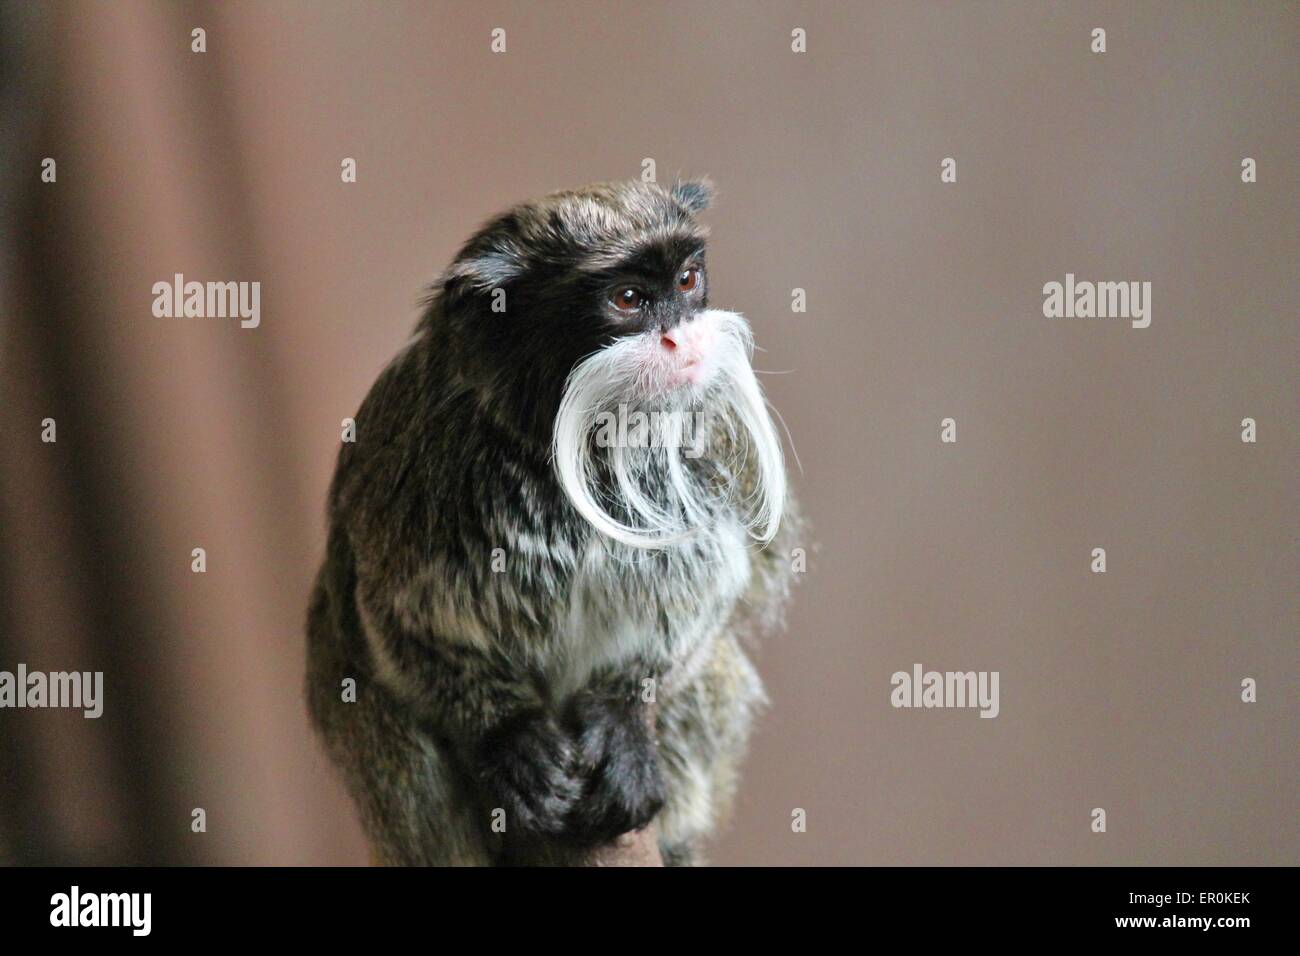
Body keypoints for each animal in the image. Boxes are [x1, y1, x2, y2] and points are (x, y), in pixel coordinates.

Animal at [306, 179, 799, 865]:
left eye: (687, 280)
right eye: (628, 299)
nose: (683, 340)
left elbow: (711, 589)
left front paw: (622, 715)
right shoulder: (420, 472)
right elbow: (395, 619)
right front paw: (510, 736)